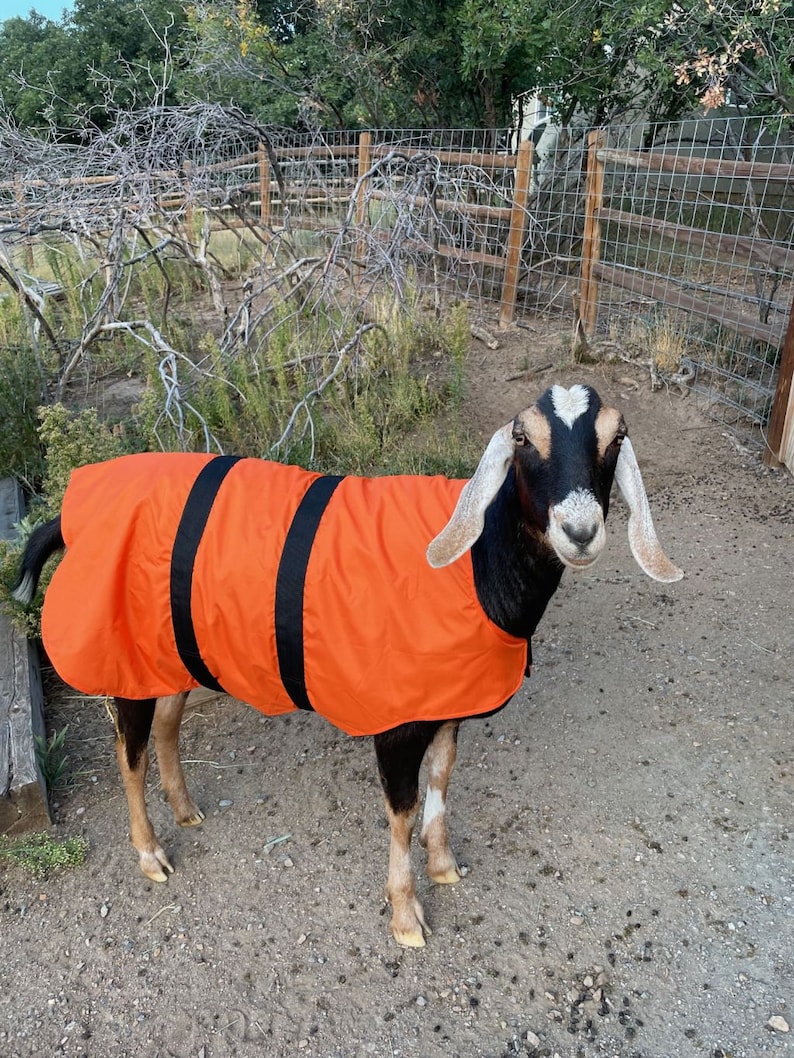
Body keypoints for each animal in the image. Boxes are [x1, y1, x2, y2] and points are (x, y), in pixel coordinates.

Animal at [14, 383, 682, 947]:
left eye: (616, 436)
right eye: (522, 439)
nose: (581, 529)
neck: (477, 568)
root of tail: (70, 514)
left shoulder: (447, 705)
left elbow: (442, 780)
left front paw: (444, 866)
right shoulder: (396, 722)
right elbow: (402, 813)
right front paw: (406, 917)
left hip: (173, 651)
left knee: (166, 725)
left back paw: (186, 809)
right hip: (123, 654)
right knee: (128, 750)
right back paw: (151, 853)